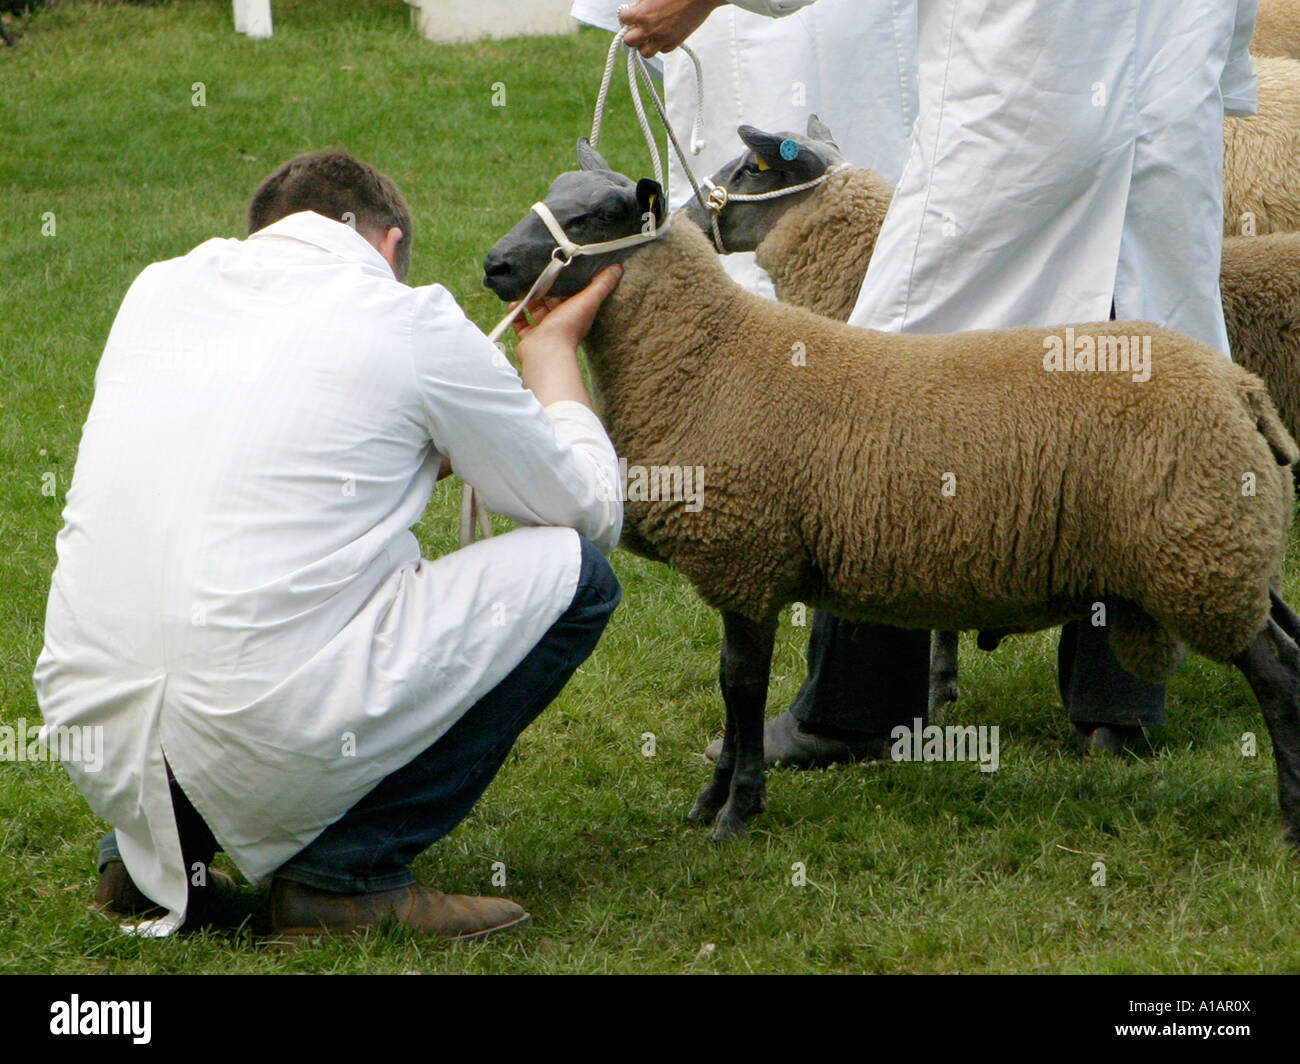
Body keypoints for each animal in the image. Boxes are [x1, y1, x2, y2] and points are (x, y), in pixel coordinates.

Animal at [482, 140, 1300, 847]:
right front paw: (715, 800)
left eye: (594, 216)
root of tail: (1238, 387)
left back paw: (1290, 820)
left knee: (1279, 676)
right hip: (1221, 545)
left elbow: (741, 689)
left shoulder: (746, 559)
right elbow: (730, 691)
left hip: (1195, 553)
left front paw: (736, 813)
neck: (706, 358)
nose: (493, 264)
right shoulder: (746, 569)